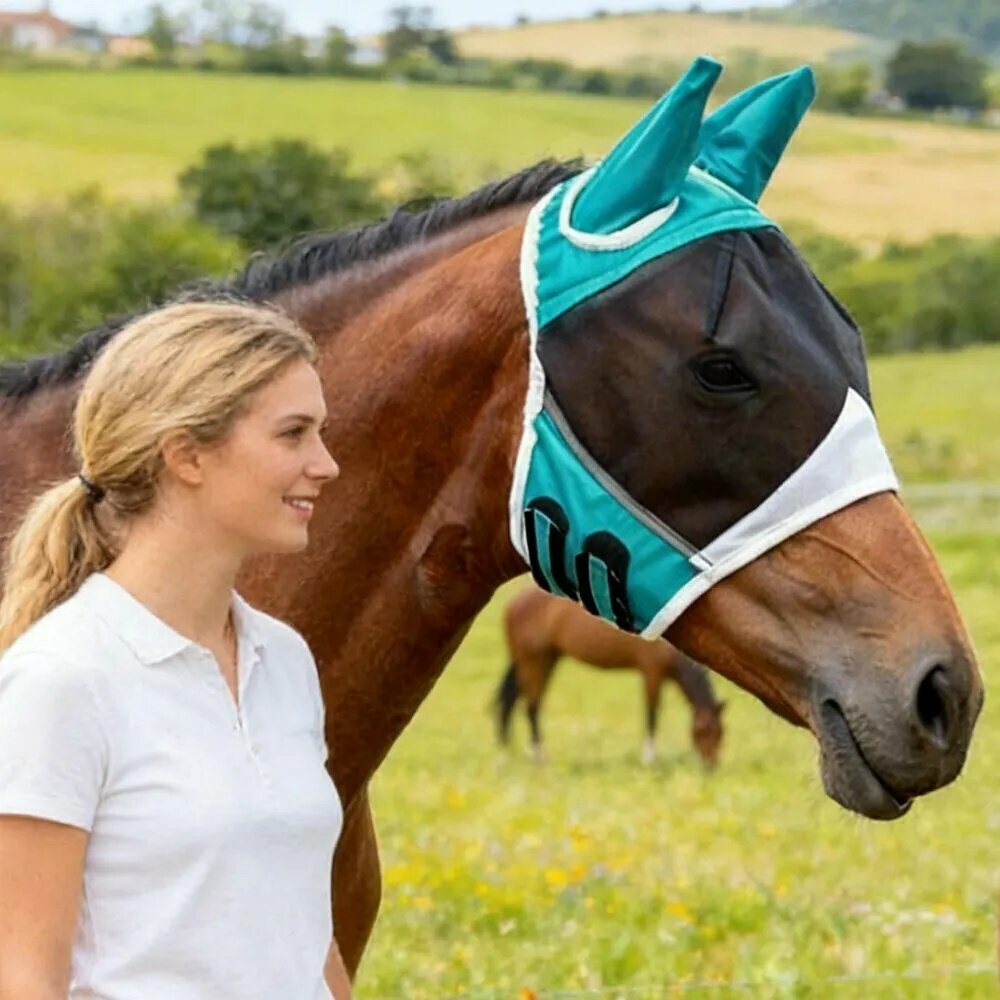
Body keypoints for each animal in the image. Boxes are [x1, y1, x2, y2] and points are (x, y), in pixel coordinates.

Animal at [497, 585, 725, 767]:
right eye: (704, 731)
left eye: (722, 733)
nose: (711, 766)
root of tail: (513, 604)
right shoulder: (651, 672)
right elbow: (651, 713)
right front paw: (649, 758)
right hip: (531, 660)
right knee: (531, 706)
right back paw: (539, 757)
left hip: (547, 659)